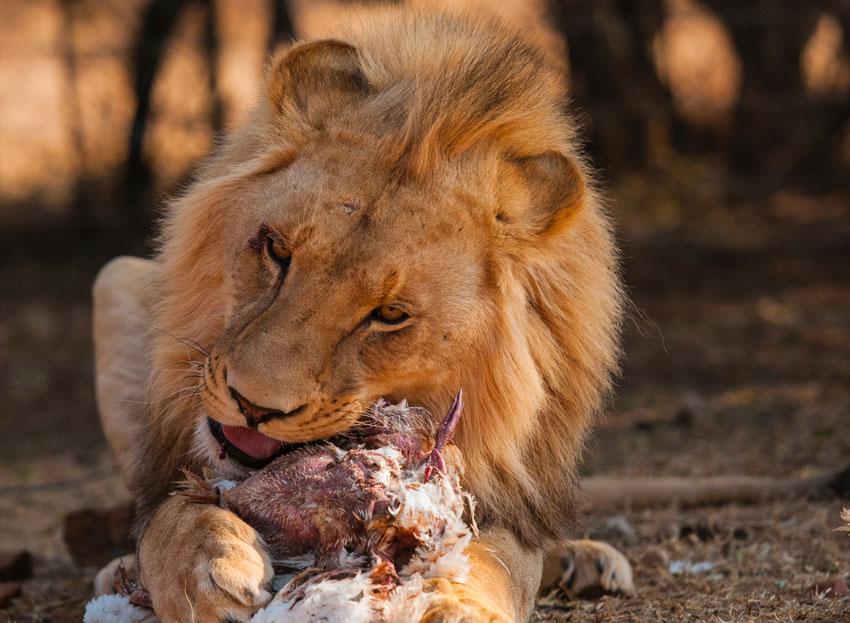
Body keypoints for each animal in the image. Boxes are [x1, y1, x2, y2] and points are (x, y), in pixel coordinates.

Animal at [92, 6, 633, 621]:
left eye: (391, 313)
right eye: (276, 250)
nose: (254, 407)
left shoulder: (497, 497)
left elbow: (493, 559)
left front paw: (454, 601)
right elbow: (168, 518)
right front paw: (211, 566)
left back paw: (585, 558)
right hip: (114, 278)